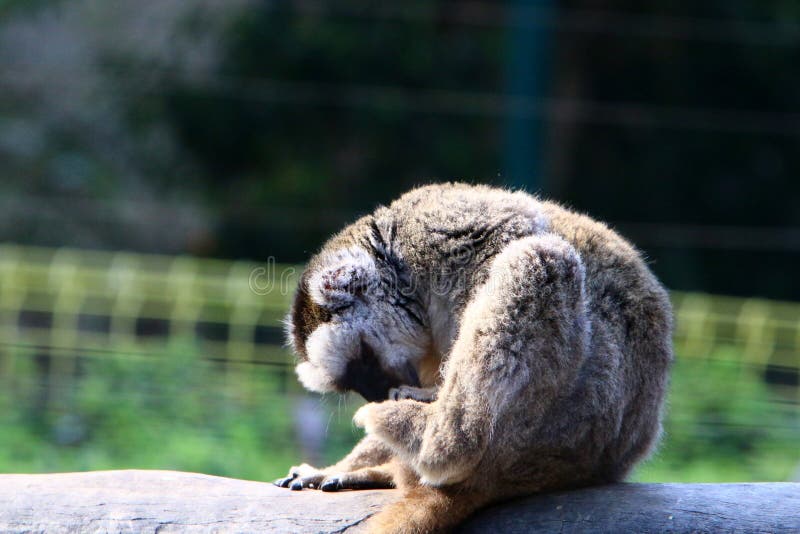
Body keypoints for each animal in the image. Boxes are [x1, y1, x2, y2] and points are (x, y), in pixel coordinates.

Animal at [275, 183, 673, 533]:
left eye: (365, 358)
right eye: (353, 381)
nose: (374, 394)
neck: (402, 262)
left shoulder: (447, 230)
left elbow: (521, 232)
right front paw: (344, 465)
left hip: (565, 421)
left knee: (540, 259)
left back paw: (441, 440)